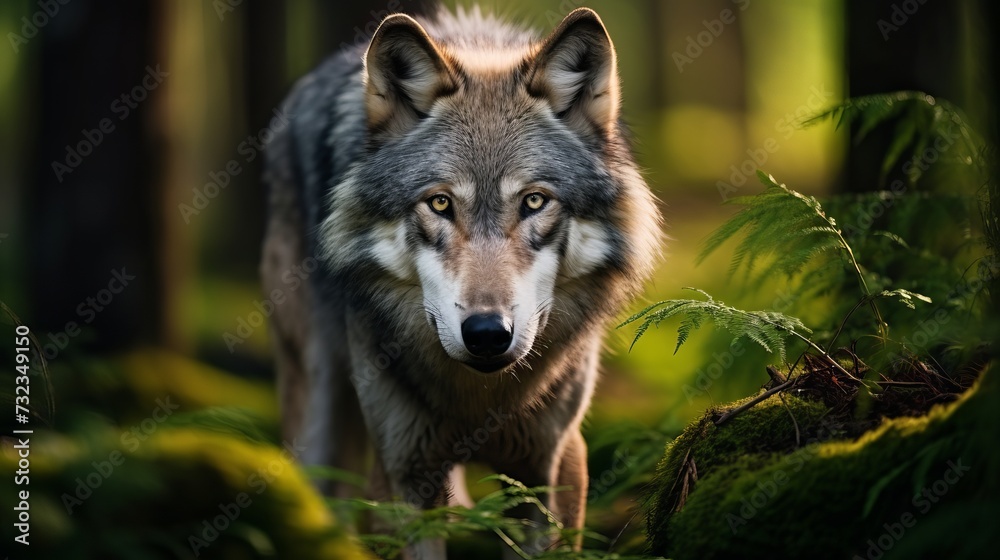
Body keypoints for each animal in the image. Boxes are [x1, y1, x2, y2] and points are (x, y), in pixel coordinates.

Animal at [261, 6, 661, 558]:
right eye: (440, 203)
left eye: (534, 201)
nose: (488, 333)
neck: (479, 401)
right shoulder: (404, 479)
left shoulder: (553, 467)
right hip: (319, 418)